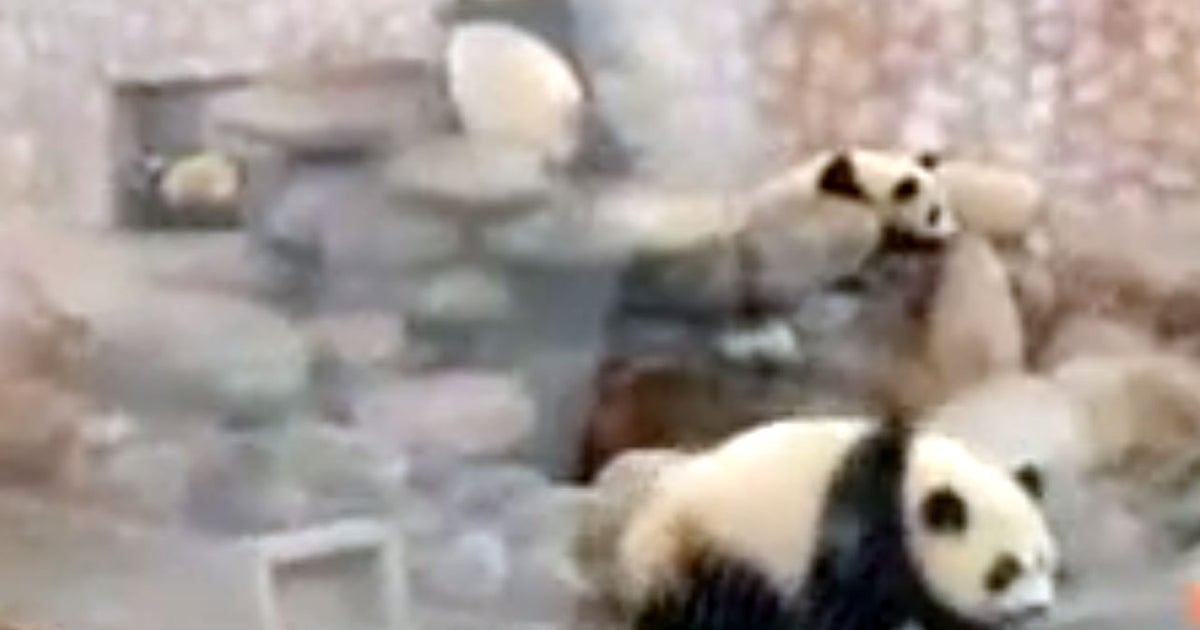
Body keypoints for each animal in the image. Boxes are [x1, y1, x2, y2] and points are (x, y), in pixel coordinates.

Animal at [613, 415, 1058, 630]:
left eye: (1043, 562)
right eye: (1003, 569)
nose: (1039, 608)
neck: (907, 481)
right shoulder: (861, 531)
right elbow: (843, 607)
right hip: (709, 554)